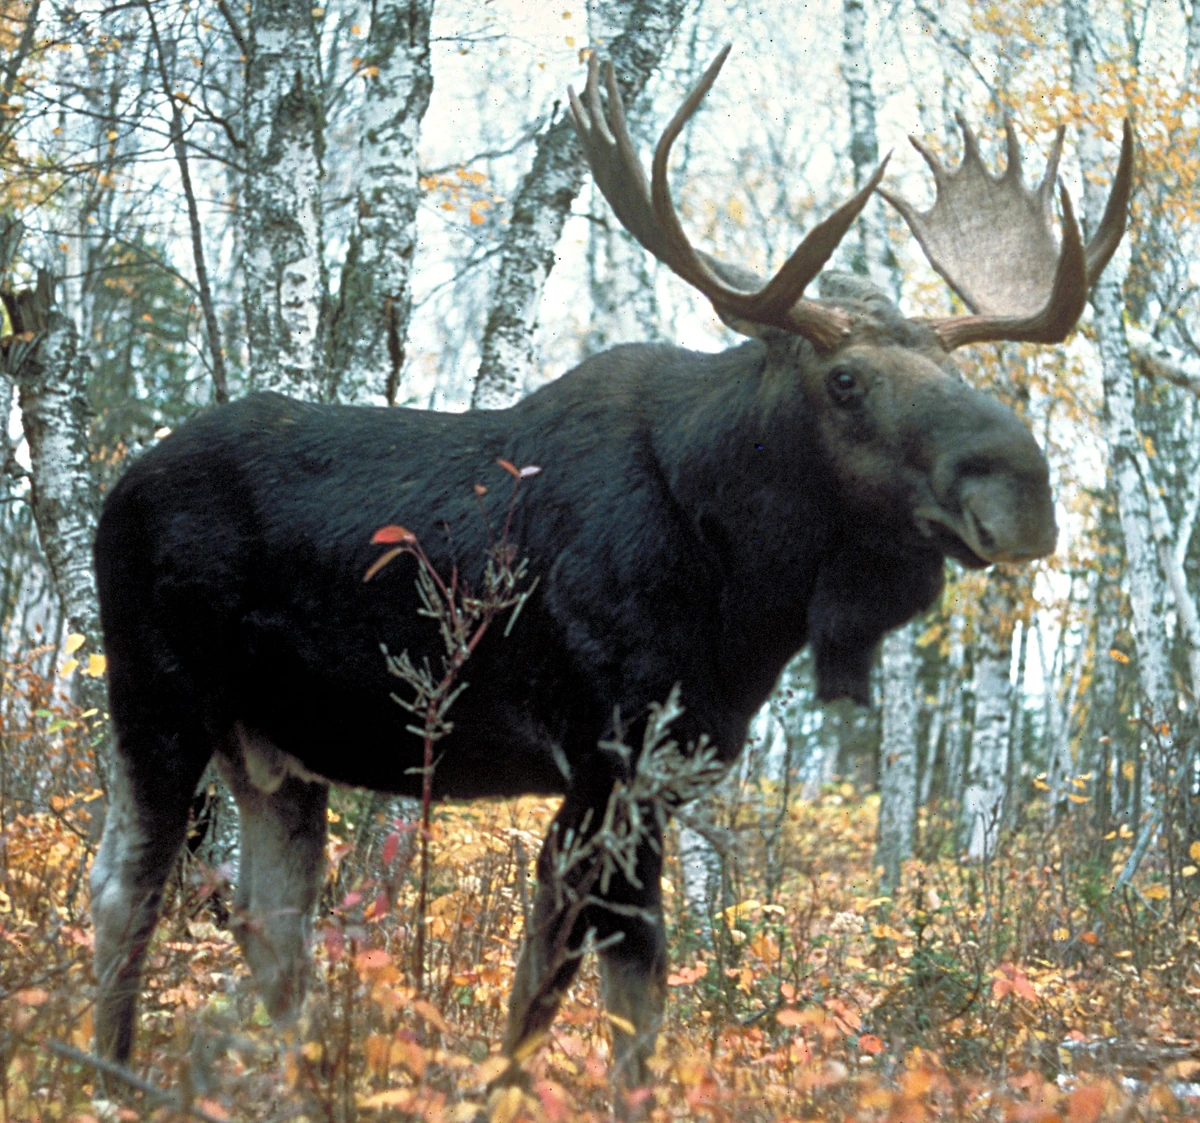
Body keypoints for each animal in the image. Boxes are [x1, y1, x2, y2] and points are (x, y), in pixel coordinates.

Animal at [89, 45, 1132, 1111]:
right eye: (845, 381)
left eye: (957, 374)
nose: (1024, 484)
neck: (745, 589)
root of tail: (117, 486)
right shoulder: (608, 756)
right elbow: (588, 987)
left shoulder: (664, 770)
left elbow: (593, 991)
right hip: (157, 697)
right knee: (130, 887)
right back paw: (110, 1072)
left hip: (276, 755)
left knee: (271, 929)